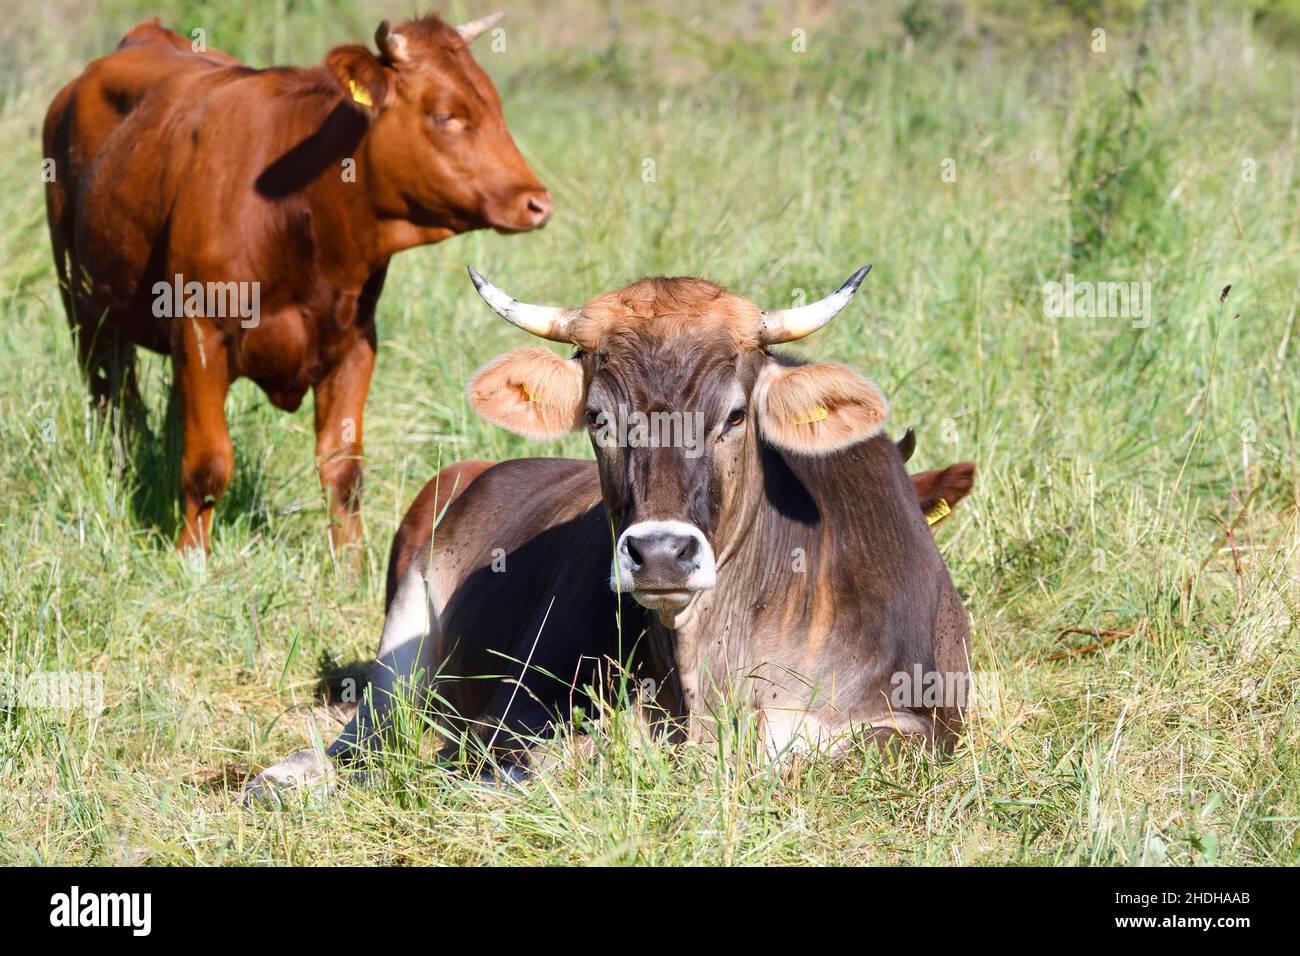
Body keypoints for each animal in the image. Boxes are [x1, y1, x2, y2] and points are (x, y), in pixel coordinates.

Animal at [43, 12, 551, 552]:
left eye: (495, 104)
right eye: (444, 114)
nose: (537, 202)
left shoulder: (354, 343)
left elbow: (342, 468)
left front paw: (351, 559)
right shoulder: (202, 332)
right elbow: (207, 463)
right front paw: (191, 556)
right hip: (82, 302)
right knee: (110, 395)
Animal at [245, 266, 975, 801]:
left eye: (736, 415)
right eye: (598, 417)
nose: (661, 554)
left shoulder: (923, 725)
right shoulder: (516, 716)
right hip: (401, 644)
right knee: (367, 741)